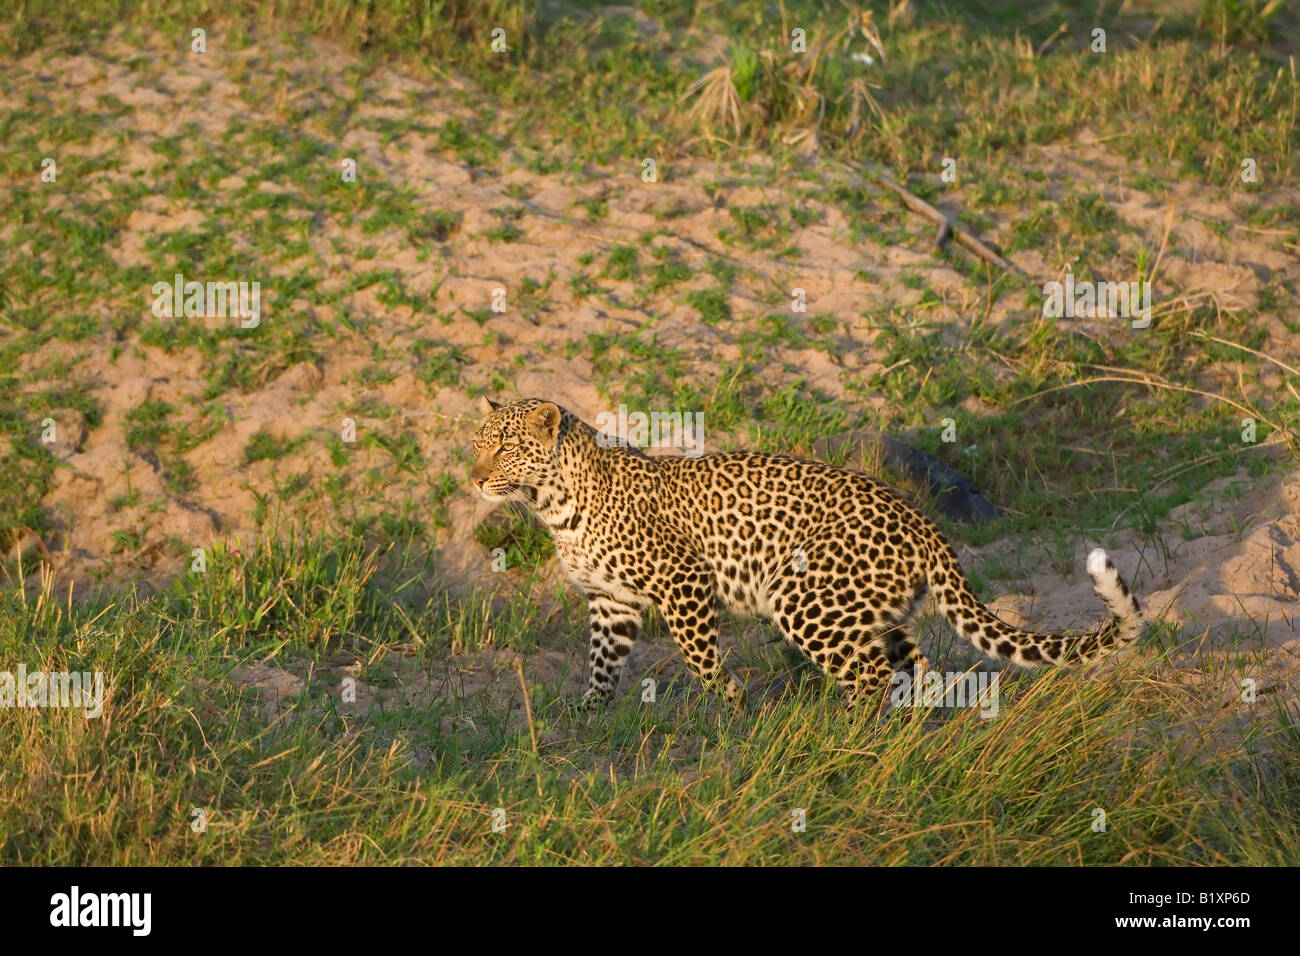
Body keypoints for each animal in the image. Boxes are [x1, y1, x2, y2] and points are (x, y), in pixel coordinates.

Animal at [469, 396, 1144, 710]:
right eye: (478, 444)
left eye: (505, 449)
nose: (474, 479)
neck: (554, 505)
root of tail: (923, 523)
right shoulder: (610, 602)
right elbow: (601, 663)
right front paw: (588, 713)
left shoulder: (684, 582)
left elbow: (699, 658)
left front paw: (733, 708)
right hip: (873, 611)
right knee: (912, 668)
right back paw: (904, 733)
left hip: (801, 595)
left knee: (870, 674)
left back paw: (843, 736)